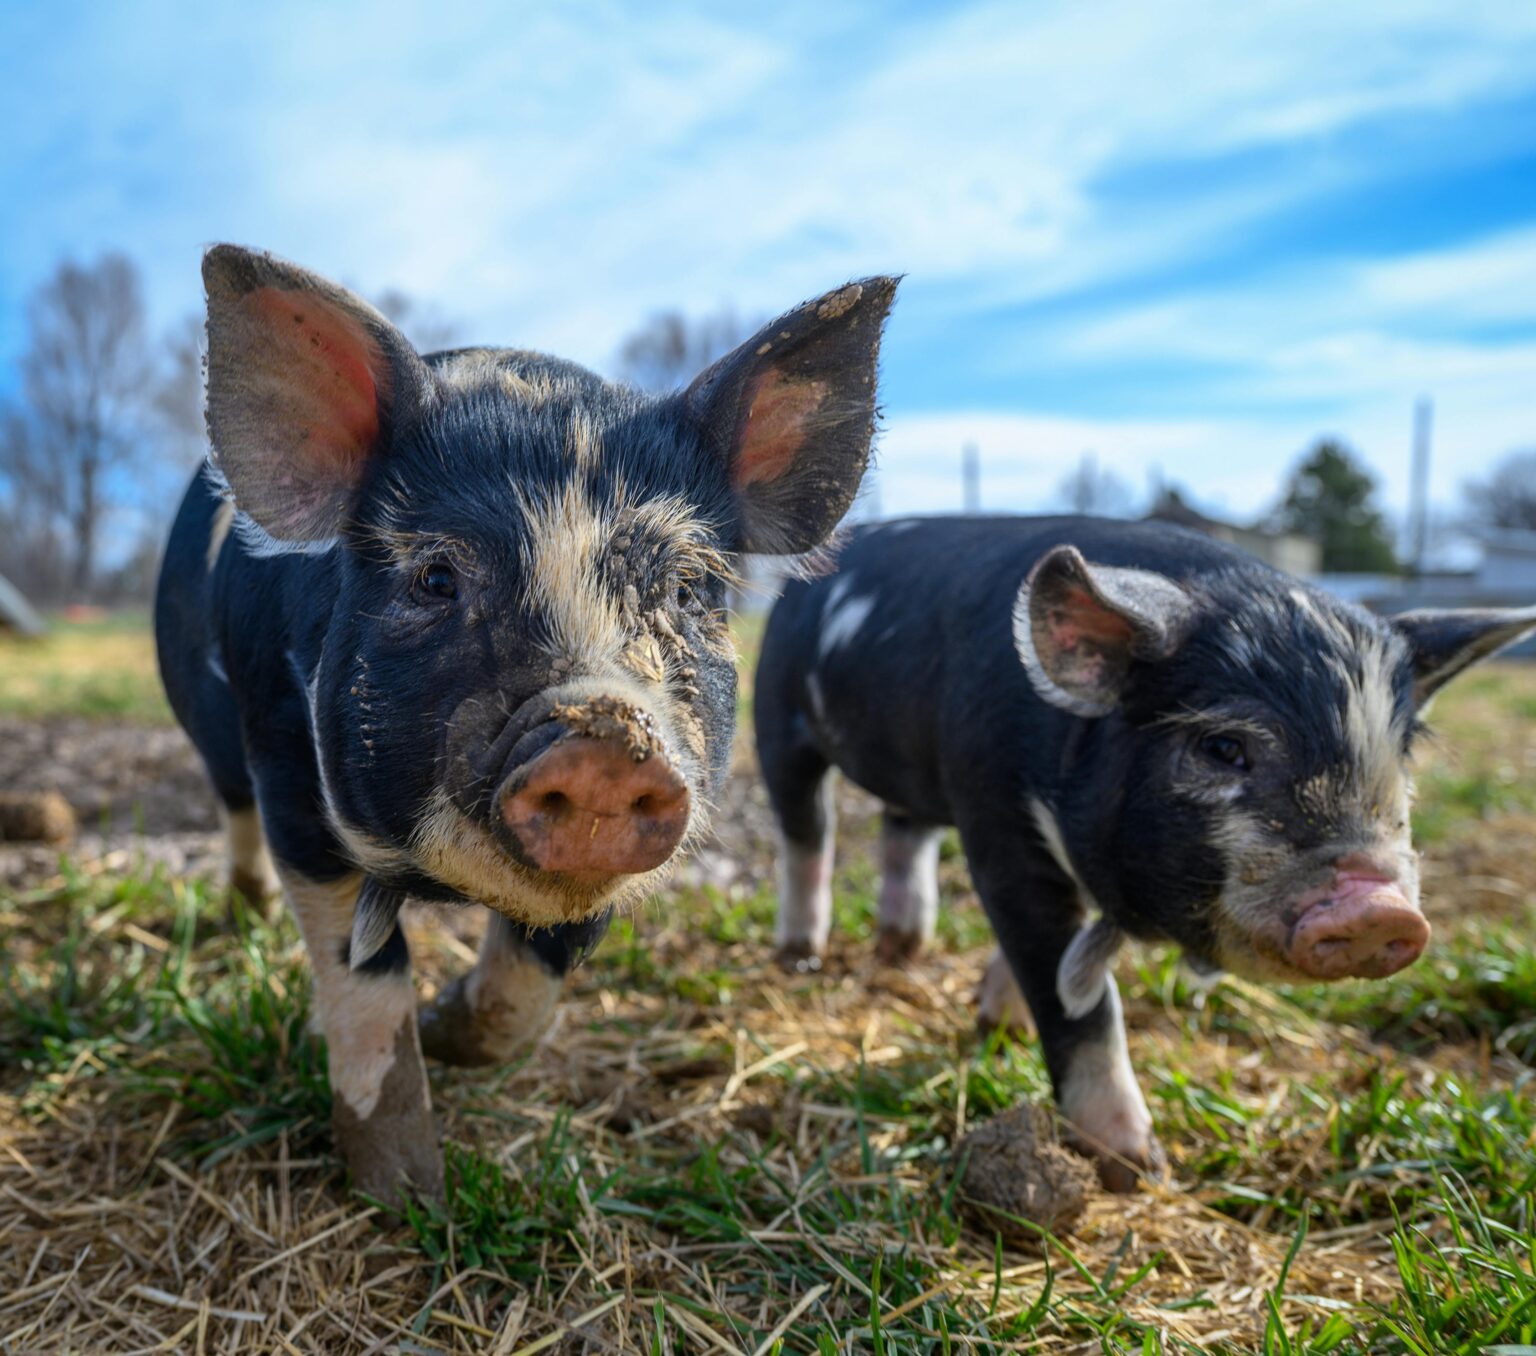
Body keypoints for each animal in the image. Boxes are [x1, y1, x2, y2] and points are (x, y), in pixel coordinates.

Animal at [155, 245, 898, 1201]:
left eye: (687, 590)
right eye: (437, 577)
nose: (607, 736)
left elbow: (528, 986)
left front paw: (447, 1032)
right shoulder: (289, 769)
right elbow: (364, 988)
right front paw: (405, 1195)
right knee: (231, 811)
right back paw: (241, 915)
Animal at [754, 514, 1536, 1190]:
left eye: (1400, 757)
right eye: (1223, 748)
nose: (1380, 910)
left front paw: (998, 1024)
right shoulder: (995, 819)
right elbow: (1078, 999)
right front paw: (1137, 1170)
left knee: (901, 830)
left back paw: (902, 949)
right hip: (779, 719)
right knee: (806, 832)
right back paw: (800, 956)